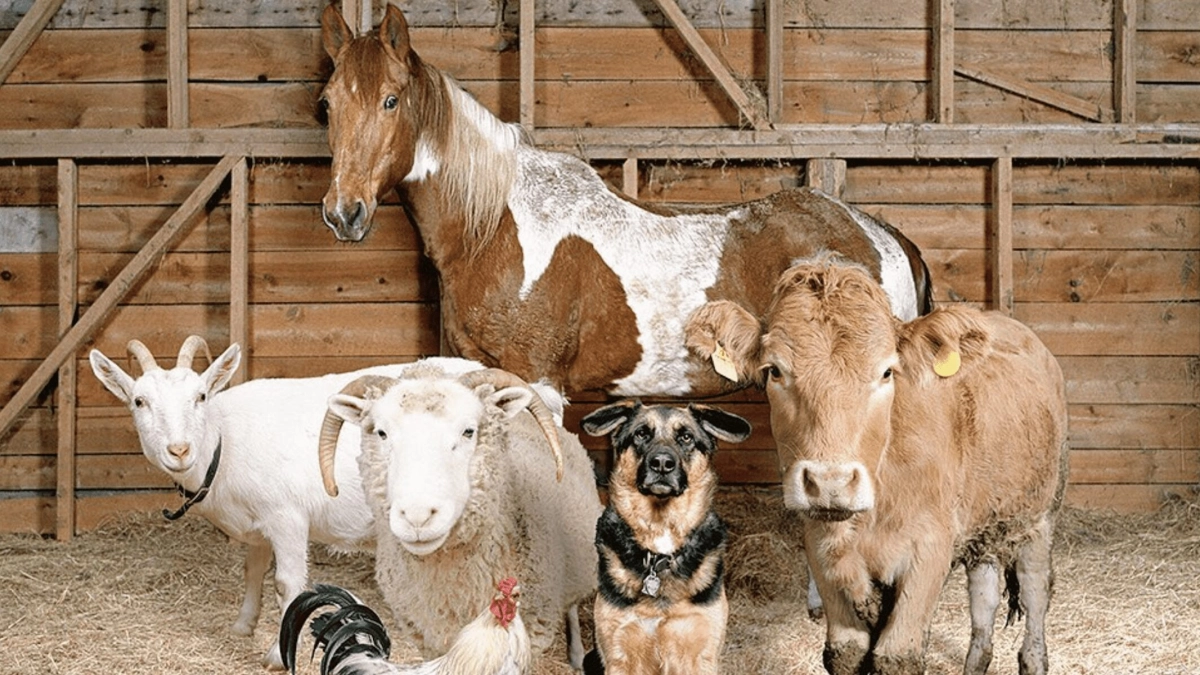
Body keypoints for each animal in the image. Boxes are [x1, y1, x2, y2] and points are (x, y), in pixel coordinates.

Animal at [317, 3, 933, 398]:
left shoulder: (538, 383)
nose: (344, 212)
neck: (495, 229)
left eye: (391, 100)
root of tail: (882, 236)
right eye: (327, 104)